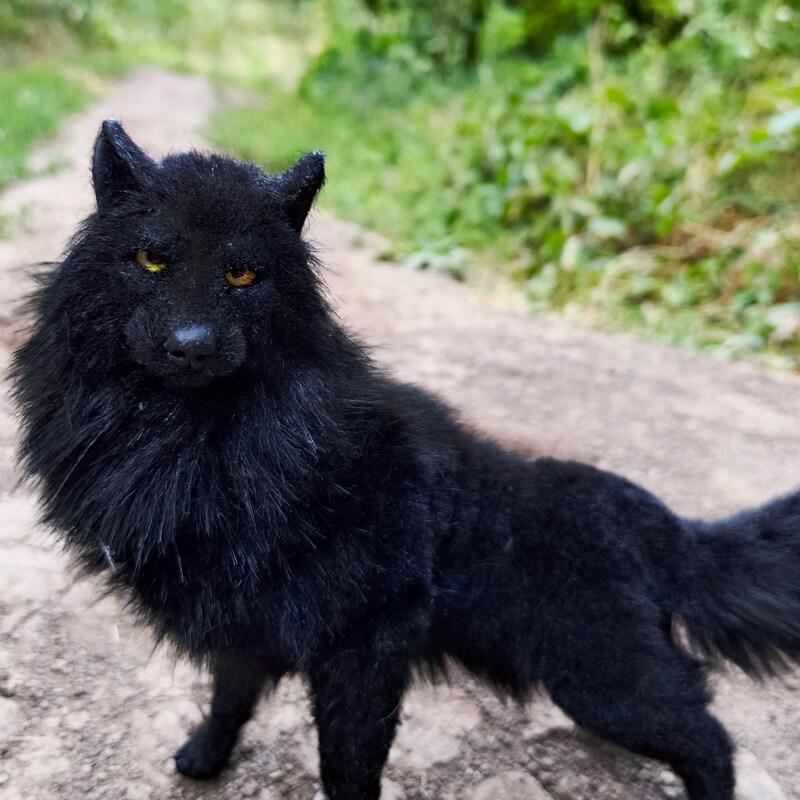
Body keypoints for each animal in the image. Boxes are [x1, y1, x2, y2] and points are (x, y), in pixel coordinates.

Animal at [11, 120, 800, 800]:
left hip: (603, 682)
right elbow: (228, 702)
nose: (192, 346)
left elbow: (347, 769)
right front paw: (205, 759)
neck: (196, 440)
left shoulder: (365, 647)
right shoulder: (239, 624)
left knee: (711, 740)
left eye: (243, 277)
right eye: (152, 258)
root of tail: (663, 525)